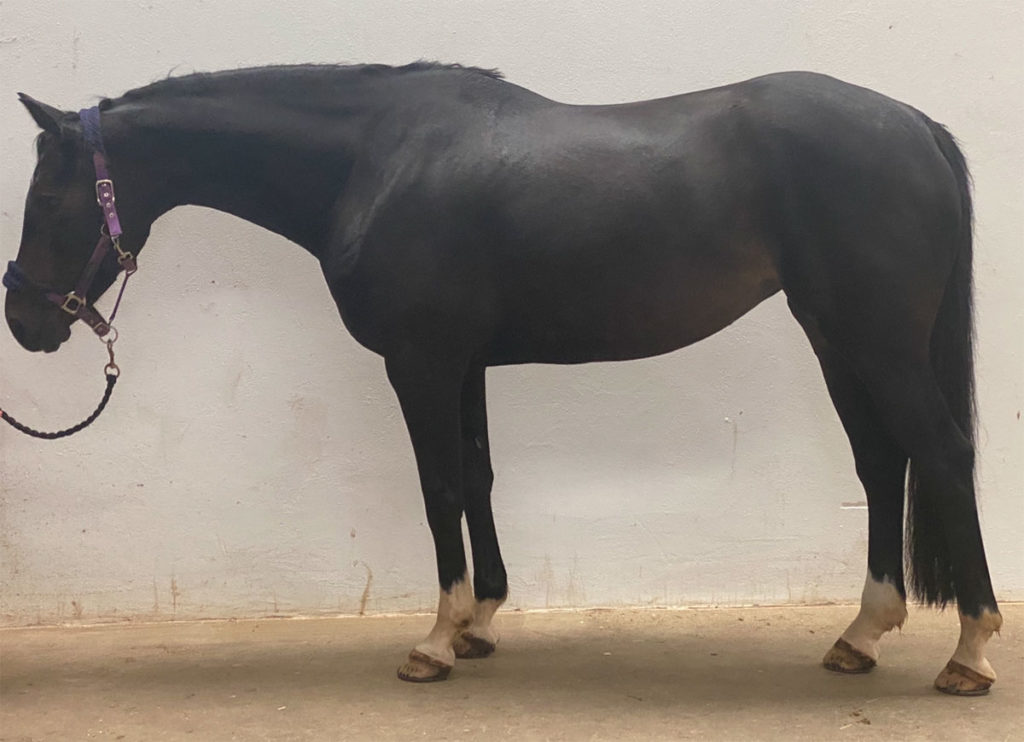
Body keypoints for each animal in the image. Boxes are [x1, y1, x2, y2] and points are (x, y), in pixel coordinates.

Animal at [4, 63, 1002, 695]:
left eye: (47, 197)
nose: (23, 320)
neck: (375, 161)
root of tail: (915, 127)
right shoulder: (465, 363)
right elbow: (478, 477)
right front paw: (480, 624)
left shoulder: (420, 363)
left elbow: (439, 486)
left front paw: (435, 642)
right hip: (838, 336)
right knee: (882, 460)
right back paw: (861, 635)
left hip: (877, 342)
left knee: (943, 454)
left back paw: (970, 653)